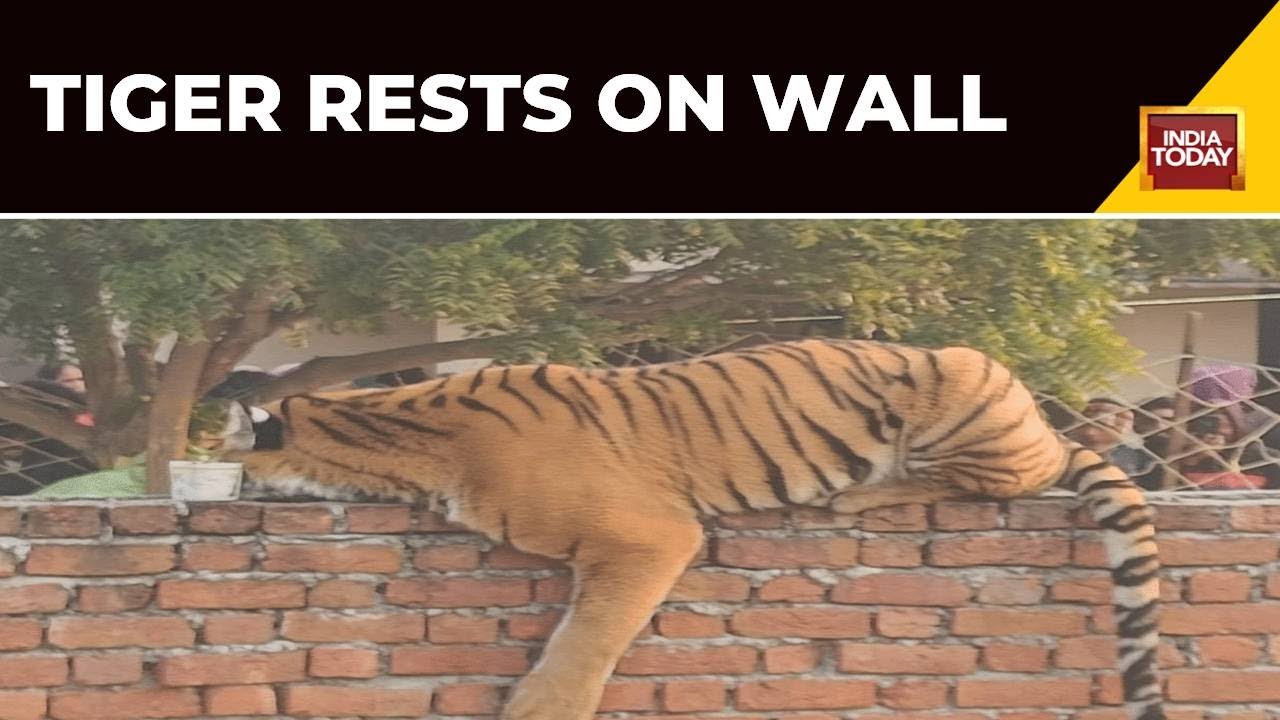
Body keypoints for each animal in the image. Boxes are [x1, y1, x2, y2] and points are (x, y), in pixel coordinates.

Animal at [214, 338, 1166, 720]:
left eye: (225, 455)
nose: (212, 479)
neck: (390, 435)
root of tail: (1040, 416)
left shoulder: (649, 535)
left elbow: (589, 634)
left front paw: (541, 707)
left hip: (963, 400)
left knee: (1012, 477)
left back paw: (859, 497)